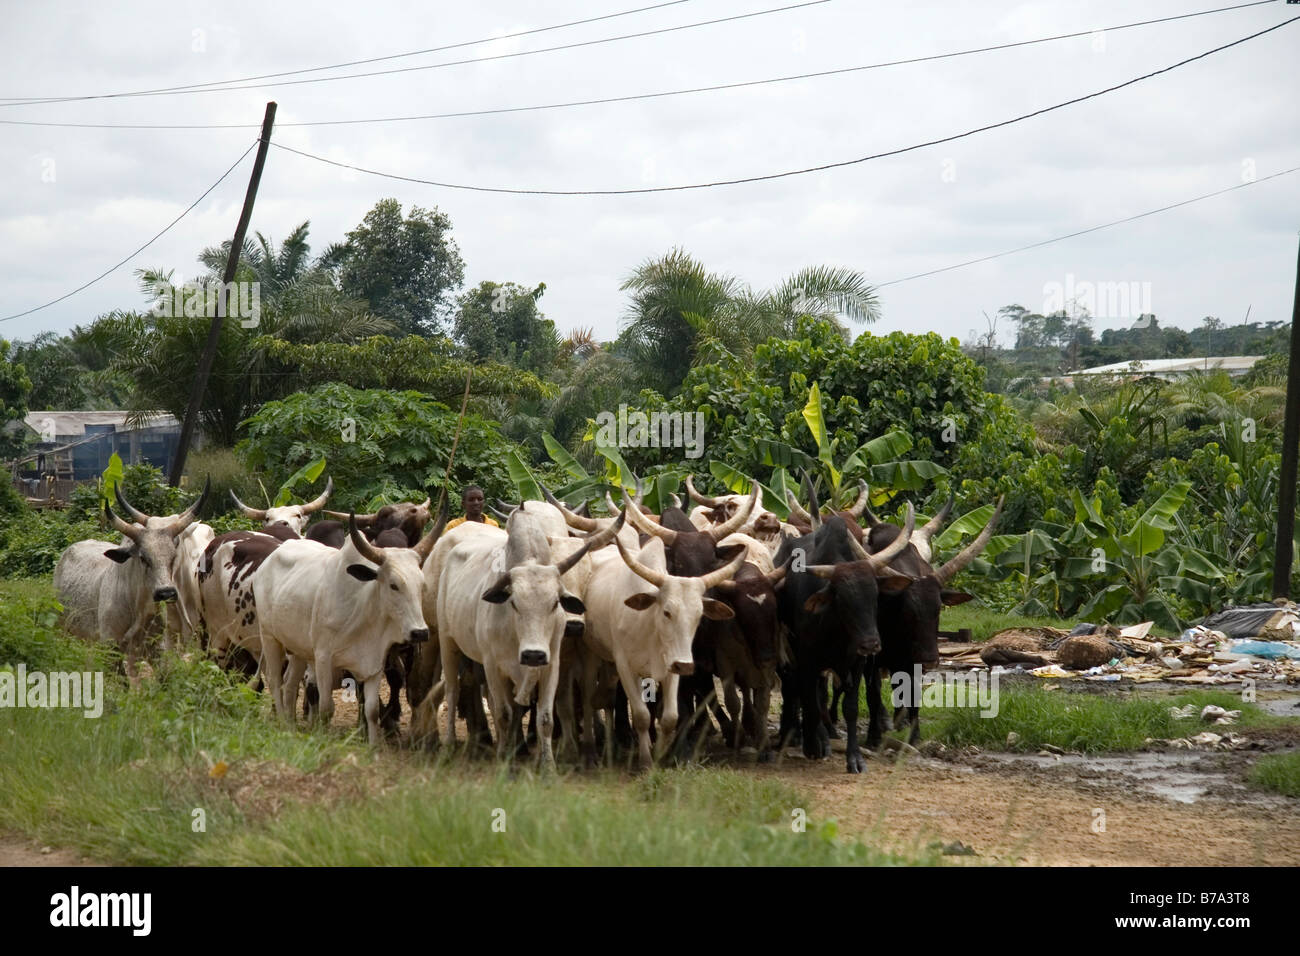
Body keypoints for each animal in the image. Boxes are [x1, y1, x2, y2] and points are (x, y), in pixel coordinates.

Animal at [54, 480, 209, 683]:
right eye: (143, 558)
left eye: (173, 556)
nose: (166, 592)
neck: (137, 607)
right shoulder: (110, 647)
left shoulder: (155, 649)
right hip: (62, 629)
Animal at [254, 512, 445, 744]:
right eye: (393, 585)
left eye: (422, 584)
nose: (420, 632)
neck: (364, 610)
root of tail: (269, 560)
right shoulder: (323, 659)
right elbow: (326, 707)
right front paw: (322, 737)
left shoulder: (374, 662)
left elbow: (372, 710)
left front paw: (373, 744)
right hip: (269, 637)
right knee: (275, 681)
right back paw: (282, 720)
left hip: (298, 648)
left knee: (289, 684)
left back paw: (290, 725)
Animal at [773, 502, 916, 774]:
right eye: (842, 598)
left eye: (876, 595)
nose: (871, 643)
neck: (836, 631)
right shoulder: (807, 659)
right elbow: (810, 699)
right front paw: (813, 744)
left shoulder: (856, 663)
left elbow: (849, 707)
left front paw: (855, 758)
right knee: (797, 690)